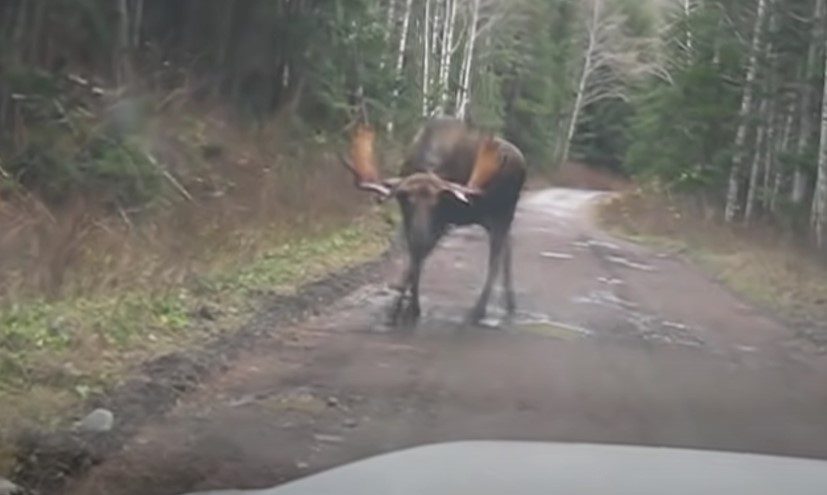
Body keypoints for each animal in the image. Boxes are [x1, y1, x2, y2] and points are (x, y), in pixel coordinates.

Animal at [339, 117, 527, 326]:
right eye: (407, 199)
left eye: (436, 203)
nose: (420, 235)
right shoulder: (409, 220)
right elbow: (414, 260)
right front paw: (409, 307)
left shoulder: (442, 221)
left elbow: (415, 262)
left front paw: (400, 310)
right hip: (490, 218)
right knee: (507, 249)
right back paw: (510, 304)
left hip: (503, 213)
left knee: (495, 259)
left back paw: (479, 311)